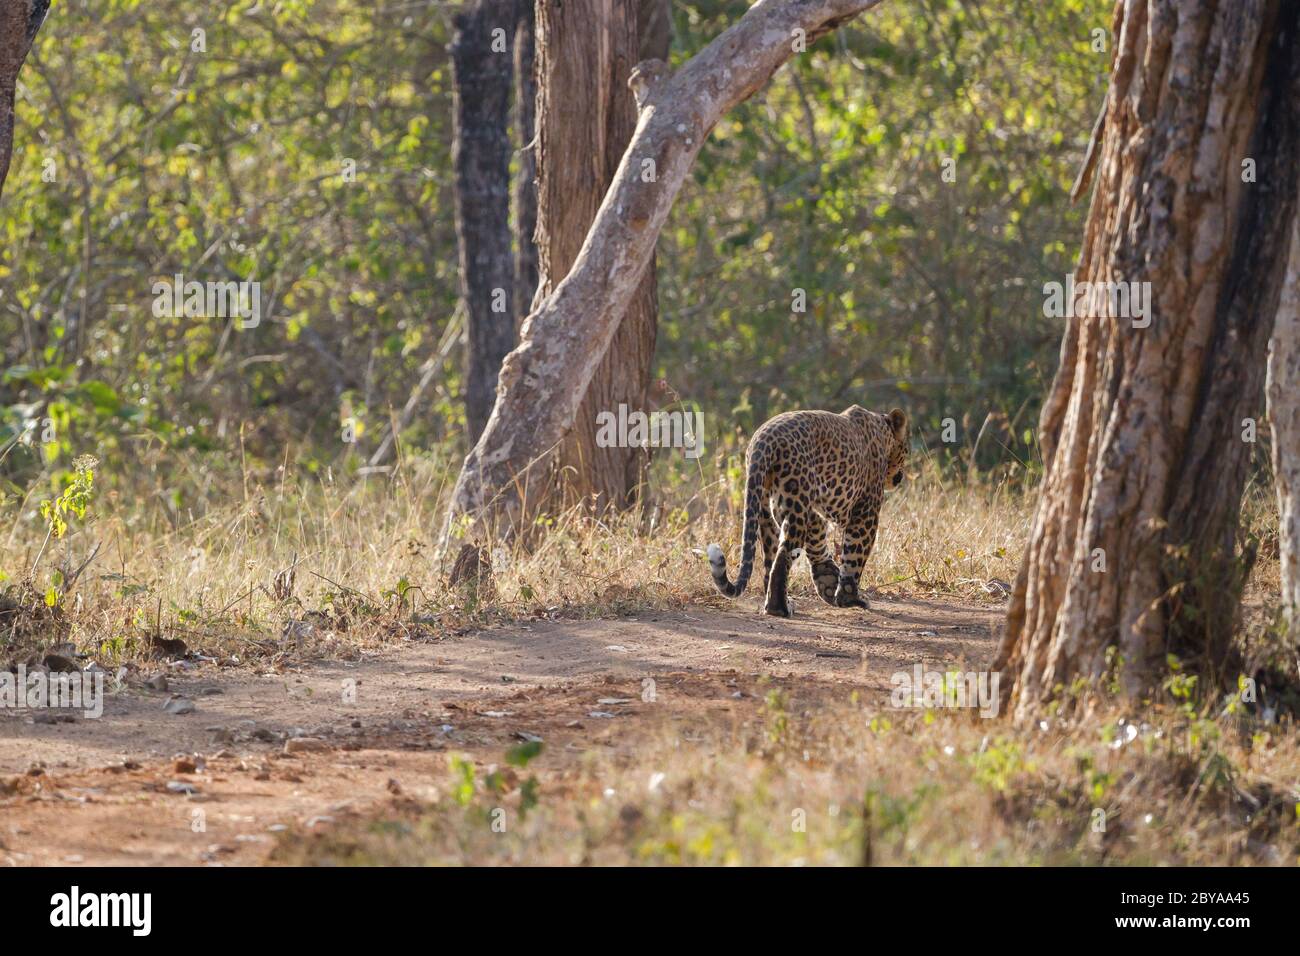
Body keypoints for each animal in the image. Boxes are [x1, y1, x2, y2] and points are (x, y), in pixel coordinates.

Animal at [707, 405, 908, 618]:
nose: (900, 477)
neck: (882, 431)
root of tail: (763, 440)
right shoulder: (866, 508)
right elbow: (855, 553)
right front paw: (849, 598)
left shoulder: (815, 508)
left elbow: (818, 541)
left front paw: (829, 583)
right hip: (795, 503)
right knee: (783, 556)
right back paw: (779, 608)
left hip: (765, 507)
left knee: (770, 559)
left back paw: (780, 600)